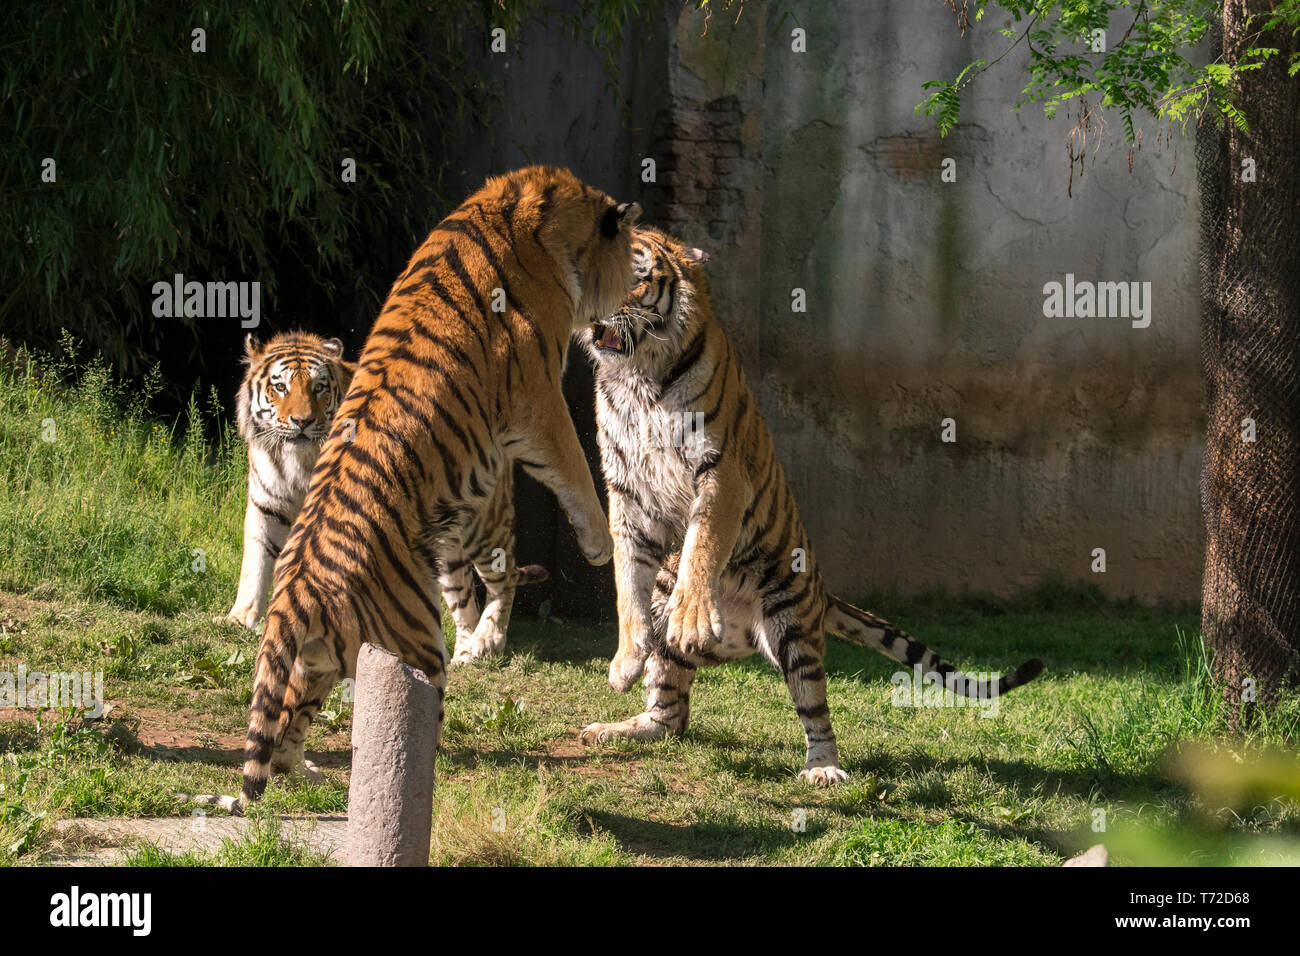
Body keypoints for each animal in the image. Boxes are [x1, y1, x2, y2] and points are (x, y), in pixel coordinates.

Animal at [201, 166, 640, 813]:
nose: (633, 301)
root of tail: (299, 585)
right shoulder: (539, 399)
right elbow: (576, 469)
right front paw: (599, 545)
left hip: (324, 654)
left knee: (284, 735)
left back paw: (309, 772)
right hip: (413, 645)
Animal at [577, 225, 1043, 784]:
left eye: (633, 276)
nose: (592, 311)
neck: (636, 377)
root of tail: (823, 591)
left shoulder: (720, 471)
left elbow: (703, 544)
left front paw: (693, 619)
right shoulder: (627, 491)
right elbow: (628, 581)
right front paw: (626, 660)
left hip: (791, 624)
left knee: (814, 706)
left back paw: (823, 767)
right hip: (689, 633)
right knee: (671, 714)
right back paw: (622, 728)